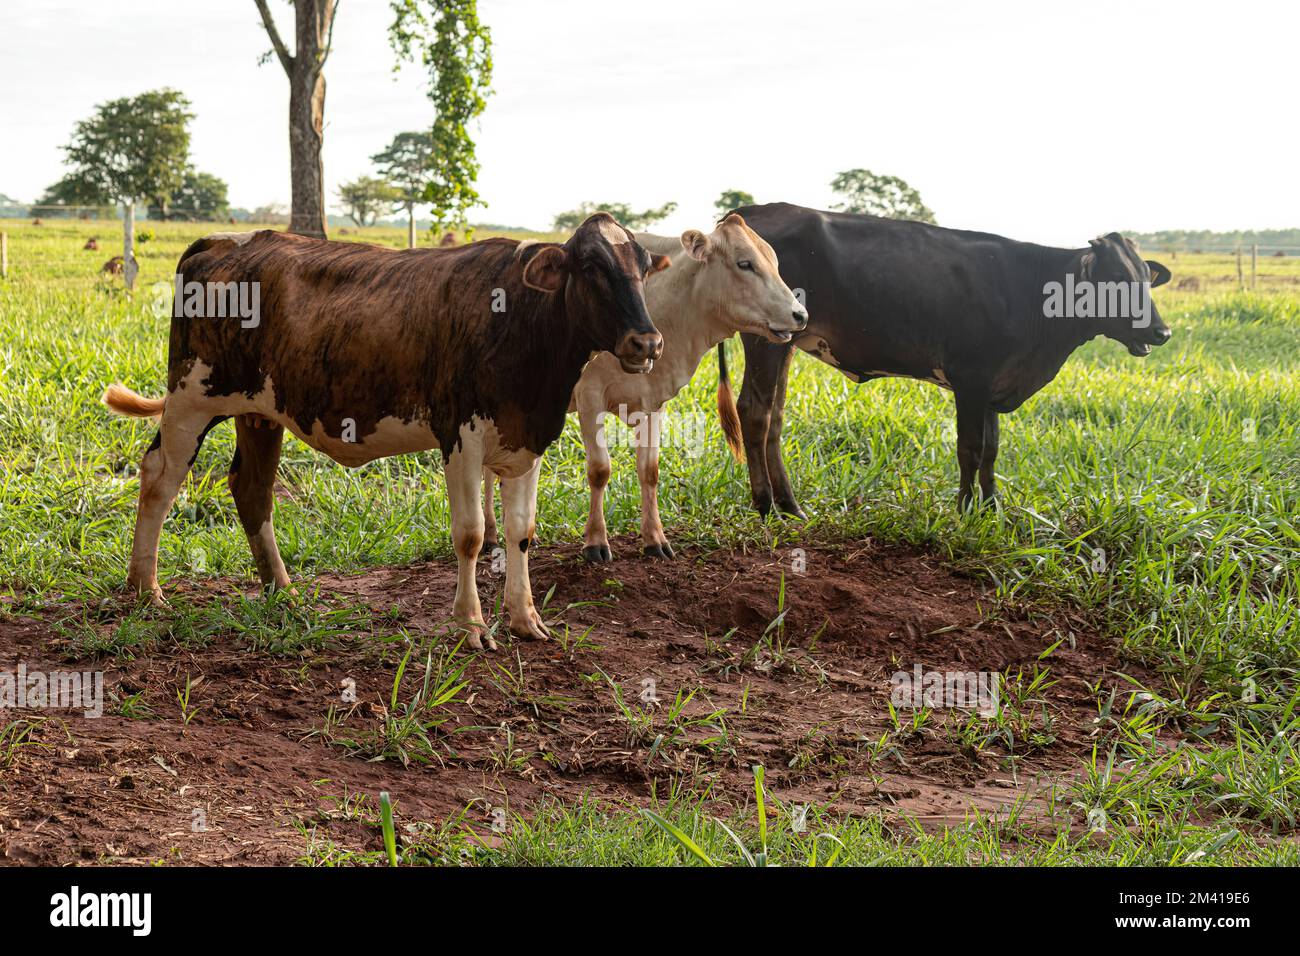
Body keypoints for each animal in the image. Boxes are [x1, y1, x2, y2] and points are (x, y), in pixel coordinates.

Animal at [101, 213, 666, 650]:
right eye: (591, 267)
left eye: (642, 267)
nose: (647, 342)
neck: (522, 322)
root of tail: (221, 240)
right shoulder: (460, 435)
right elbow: (470, 535)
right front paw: (470, 625)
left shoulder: (527, 439)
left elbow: (521, 532)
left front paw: (526, 619)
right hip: (192, 399)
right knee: (159, 478)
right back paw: (145, 587)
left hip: (260, 412)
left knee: (251, 489)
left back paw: (281, 590)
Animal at [481, 213, 807, 561]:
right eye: (744, 263)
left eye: (774, 261)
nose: (800, 314)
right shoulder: (590, 399)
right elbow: (600, 470)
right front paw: (596, 541)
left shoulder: (654, 403)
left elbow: (649, 471)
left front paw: (655, 539)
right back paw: (490, 536)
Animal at [720, 203, 1172, 513]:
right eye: (1116, 278)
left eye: (1146, 279)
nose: (1161, 332)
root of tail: (751, 212)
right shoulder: (971, 378)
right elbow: (970, 448)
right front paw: (965, 510)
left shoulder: (994, 383)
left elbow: (991, 450)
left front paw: (992, 509)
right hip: (765, 340)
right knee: (755, 412)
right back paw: (766, 506)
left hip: (786, 340)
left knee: (775, 416)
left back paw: (791, 507)